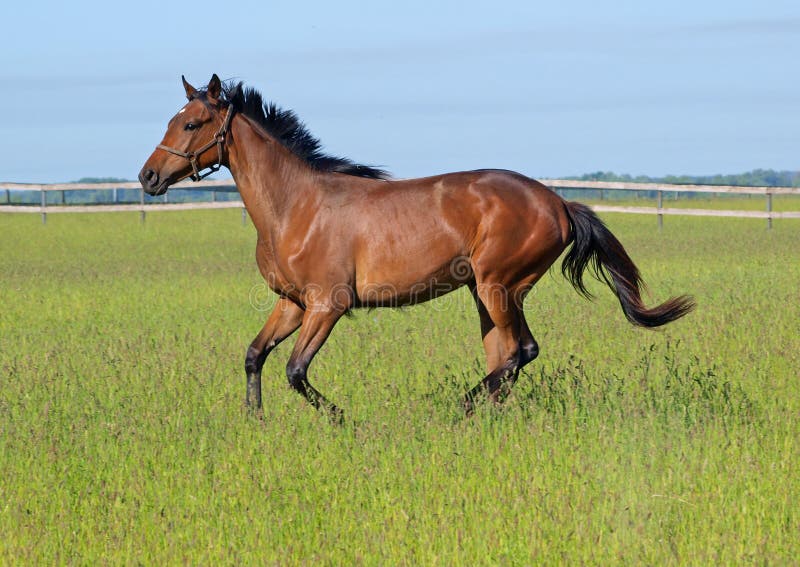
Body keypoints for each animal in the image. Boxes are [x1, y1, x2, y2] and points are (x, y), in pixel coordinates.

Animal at [139, 74, 695, 421]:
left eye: (191, 124)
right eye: (171, 120)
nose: (148, 177)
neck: (295, 205)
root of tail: (557, 201)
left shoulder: (327, 304)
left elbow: (296, 371)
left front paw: (344, 420)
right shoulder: (292, 303)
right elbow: (255, 355)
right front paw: (255, 422)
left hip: (500, 286)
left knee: (521, 352)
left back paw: (459, 410)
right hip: (484, 293)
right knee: (505, 357)